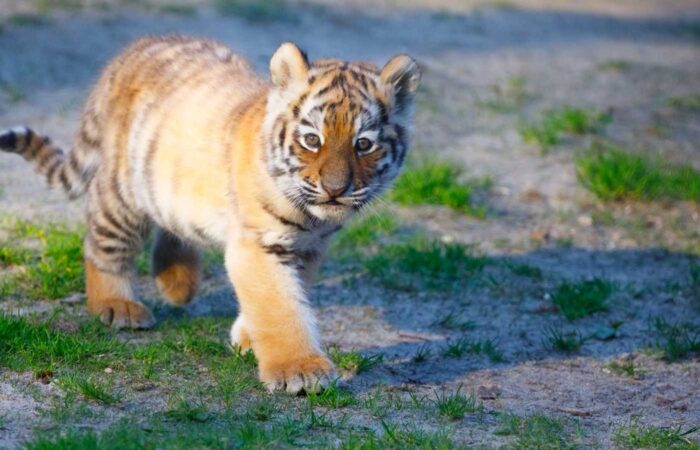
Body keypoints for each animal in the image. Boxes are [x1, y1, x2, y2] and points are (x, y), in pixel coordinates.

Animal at [0, 35, 420, 393]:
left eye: (363, 145)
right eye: (312, 140)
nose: (335, 189)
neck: (312, 220)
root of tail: (132, 51)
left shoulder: (307, 249)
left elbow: (289, 296)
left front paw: (249, 338)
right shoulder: (259, 245)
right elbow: (280, 308)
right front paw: (300, 371)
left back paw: (177, 282)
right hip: (123, 193)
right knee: (101, 245)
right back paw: (117, 305)